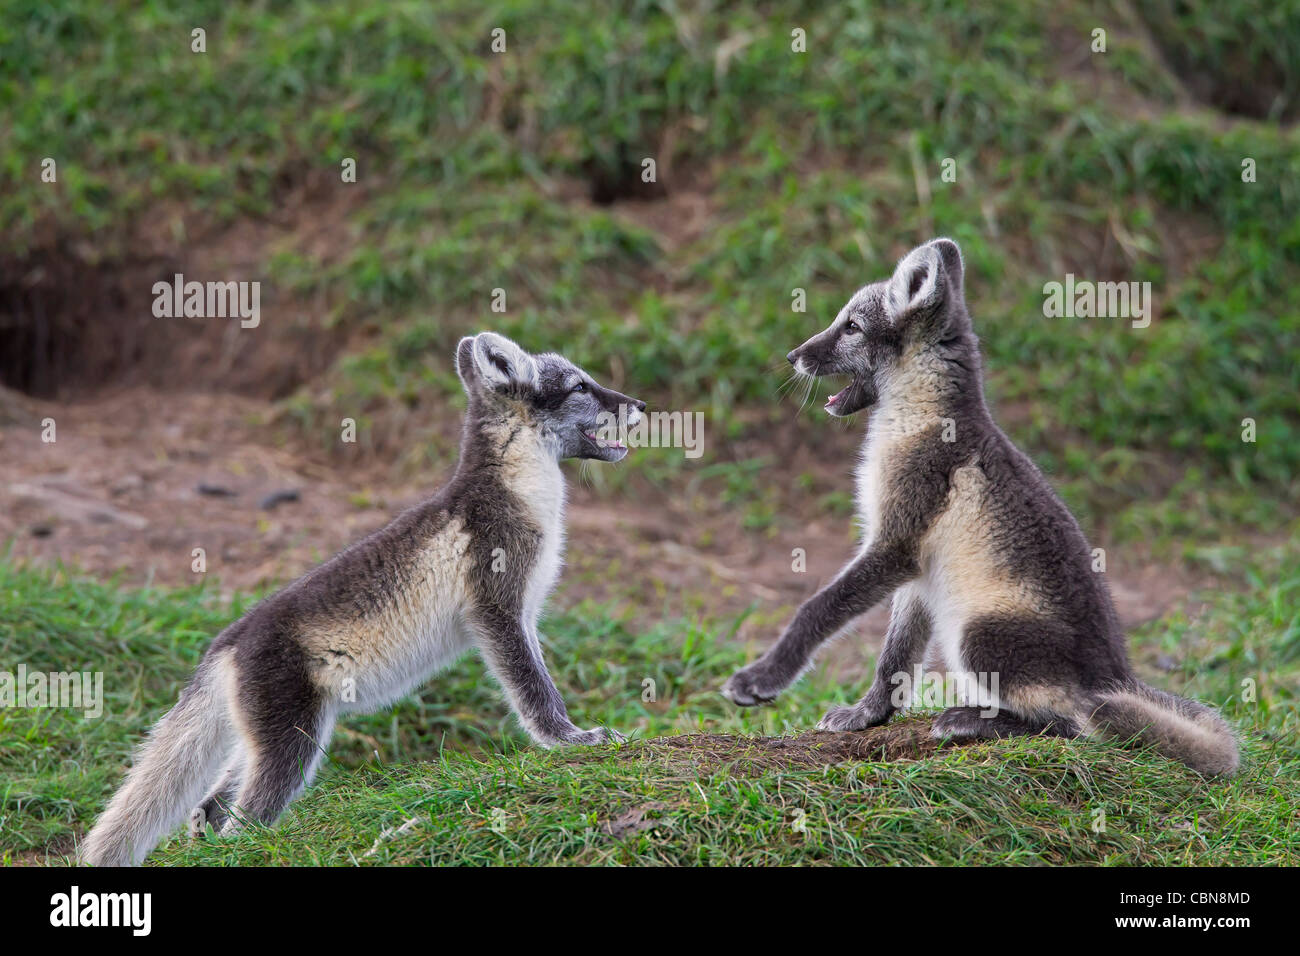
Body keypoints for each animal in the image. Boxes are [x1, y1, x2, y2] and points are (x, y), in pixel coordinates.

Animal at [83, 332, 645, 866]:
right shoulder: (497, 607)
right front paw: (570, 739)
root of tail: (229, 640)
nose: (640, 403)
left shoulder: (521, 614)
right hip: (292, 739)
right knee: (242, 821)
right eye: (579, 386)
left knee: (208, 807)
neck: (520, 488)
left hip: (264, 732)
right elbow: (535, 691)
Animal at [722, 238, 1239, 777]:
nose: (793, 356)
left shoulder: (894, 546)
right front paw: (866, 717)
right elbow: (895, 662)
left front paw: (761, 679)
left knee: (1077, 726)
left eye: (851, 327)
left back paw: (972, 720)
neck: (920, 419)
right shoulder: (917, 570)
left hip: (978, 636)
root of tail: (1113, 678)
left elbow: (814, 610)